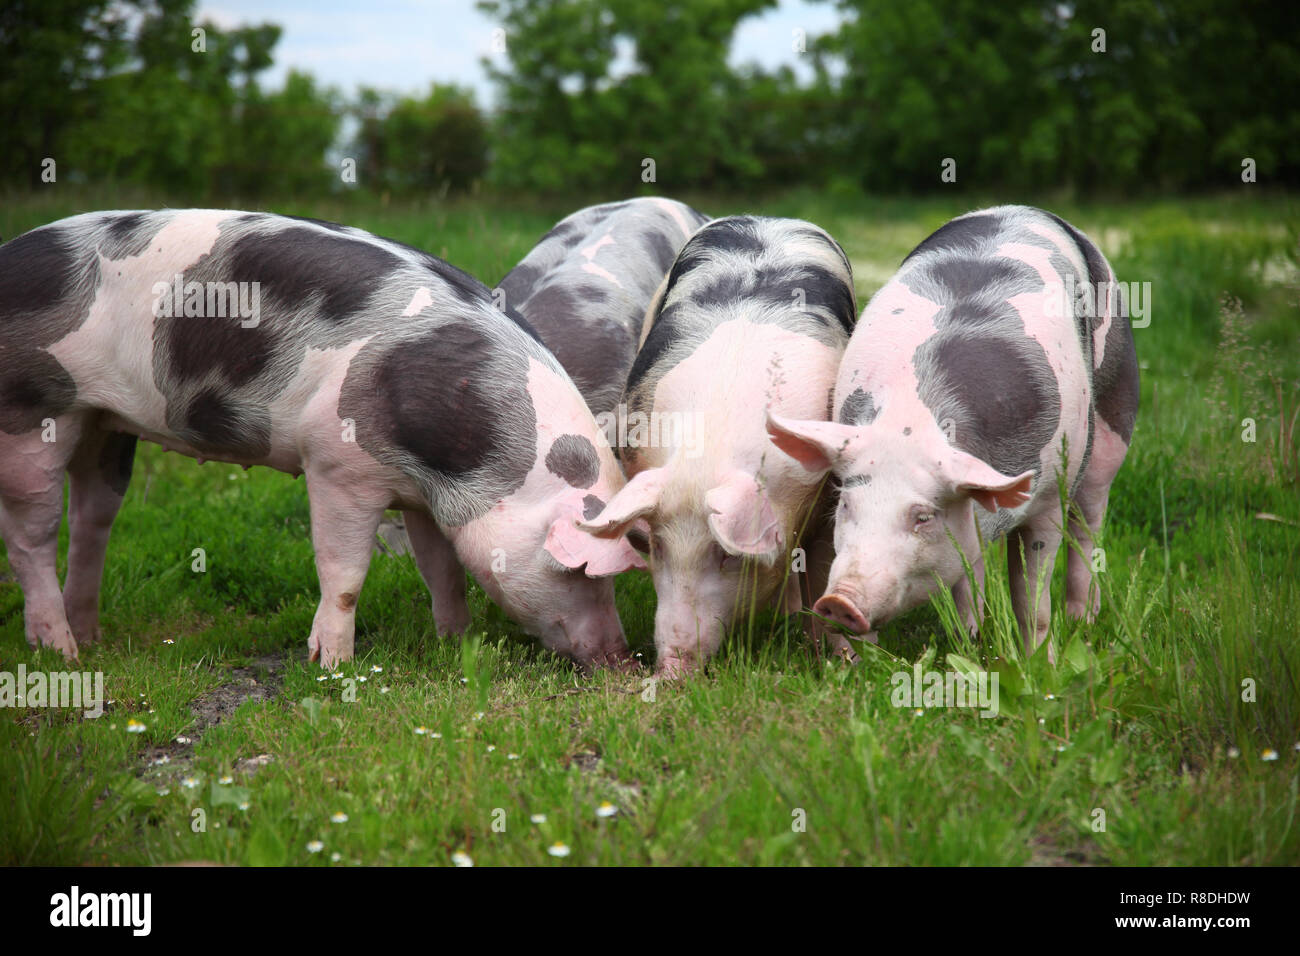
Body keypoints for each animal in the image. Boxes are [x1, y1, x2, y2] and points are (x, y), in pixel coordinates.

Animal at [0, 209, 643, 670]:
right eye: (581, 572)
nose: (622, 659)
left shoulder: (424, 495)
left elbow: (442, 568)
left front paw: (455, 644)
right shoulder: (337, 462)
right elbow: (344, 572)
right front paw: (331, 665)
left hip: (101, 422)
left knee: (91, 519)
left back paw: (92, 637)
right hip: (32, 413)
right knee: (32, 537)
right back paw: (62, 653)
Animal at [576, 216, 858, 676]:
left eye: (727, 556)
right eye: (658, 547)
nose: (673, 669)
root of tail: (770, 219)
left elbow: (820, 571)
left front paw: (842, 662)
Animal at [767, 205, 1139, 657]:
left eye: (923, 517)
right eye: (846, 506)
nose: (839, 601)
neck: (912, 424)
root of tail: (1026, 209)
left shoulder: (1049, 494)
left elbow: (1031, 594)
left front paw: (1041, 661)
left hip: (1112, 414)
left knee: (1088, 524)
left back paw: (1082, 621)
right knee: (973, 568)